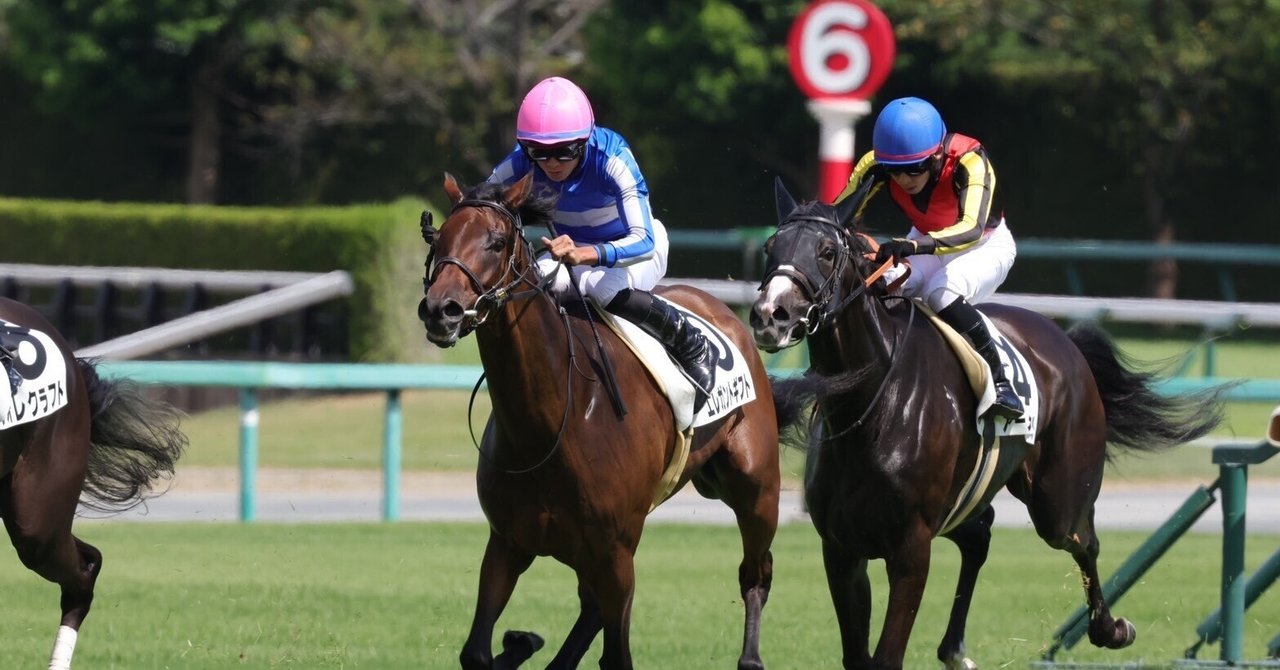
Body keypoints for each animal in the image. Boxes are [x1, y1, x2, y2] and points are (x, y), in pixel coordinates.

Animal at [417, 173, 802, 670]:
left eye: (497, 242)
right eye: (438, 238)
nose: (440, 309)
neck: (551, 423)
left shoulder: (616, 553)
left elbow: (616, 654)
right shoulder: (507, 542)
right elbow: (477, 653)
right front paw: (519, 642)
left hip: (755, 488)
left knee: (756, 573)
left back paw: (750, 657)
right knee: (590, 610)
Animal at [748, 179, 1224, 670]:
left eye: (826, 251)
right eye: (770, 246)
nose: (770, 315)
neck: (871, 404)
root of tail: (1065, 339)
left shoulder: (911, 549)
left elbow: (886, 655)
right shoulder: (841, 549)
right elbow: (857, 654)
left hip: (1058, 498)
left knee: (1082, 540)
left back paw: (1110, 629)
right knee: (980, 533)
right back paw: (955, 649)